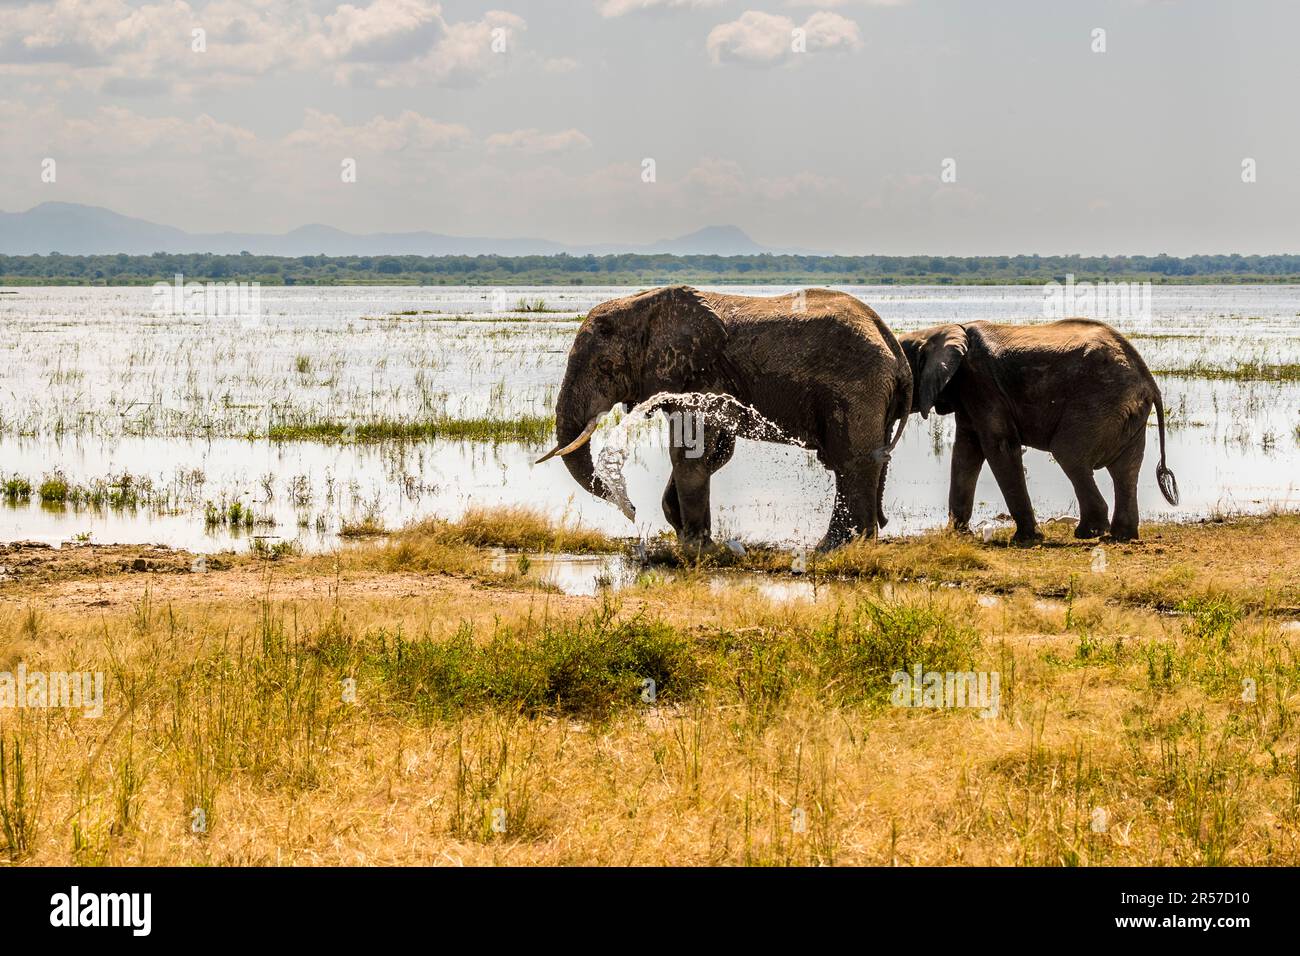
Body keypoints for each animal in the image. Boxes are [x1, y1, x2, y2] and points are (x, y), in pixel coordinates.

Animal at [536, 285, 912, 551]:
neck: (644, 305)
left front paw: (695, 547)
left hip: (857, 386)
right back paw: (858, 542)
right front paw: (686, 534)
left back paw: (832, 548)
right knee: (867, 460)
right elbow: (715, 452)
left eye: (604, 368)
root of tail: (894, 348)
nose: (632, 510)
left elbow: (689, 453)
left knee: (851, 461)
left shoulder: (699, 378)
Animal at [899, 318, 1179, 544]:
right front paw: (958, 534)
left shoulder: (981, 384)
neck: (940, 331)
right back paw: (1121, 536)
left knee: (1068, 454)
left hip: (1099, 401)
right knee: (1126, 469)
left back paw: (1088, 532)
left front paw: (1027, 538)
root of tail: (1149, 381)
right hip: (1127, 412)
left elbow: (999, 446)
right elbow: (966, 451)